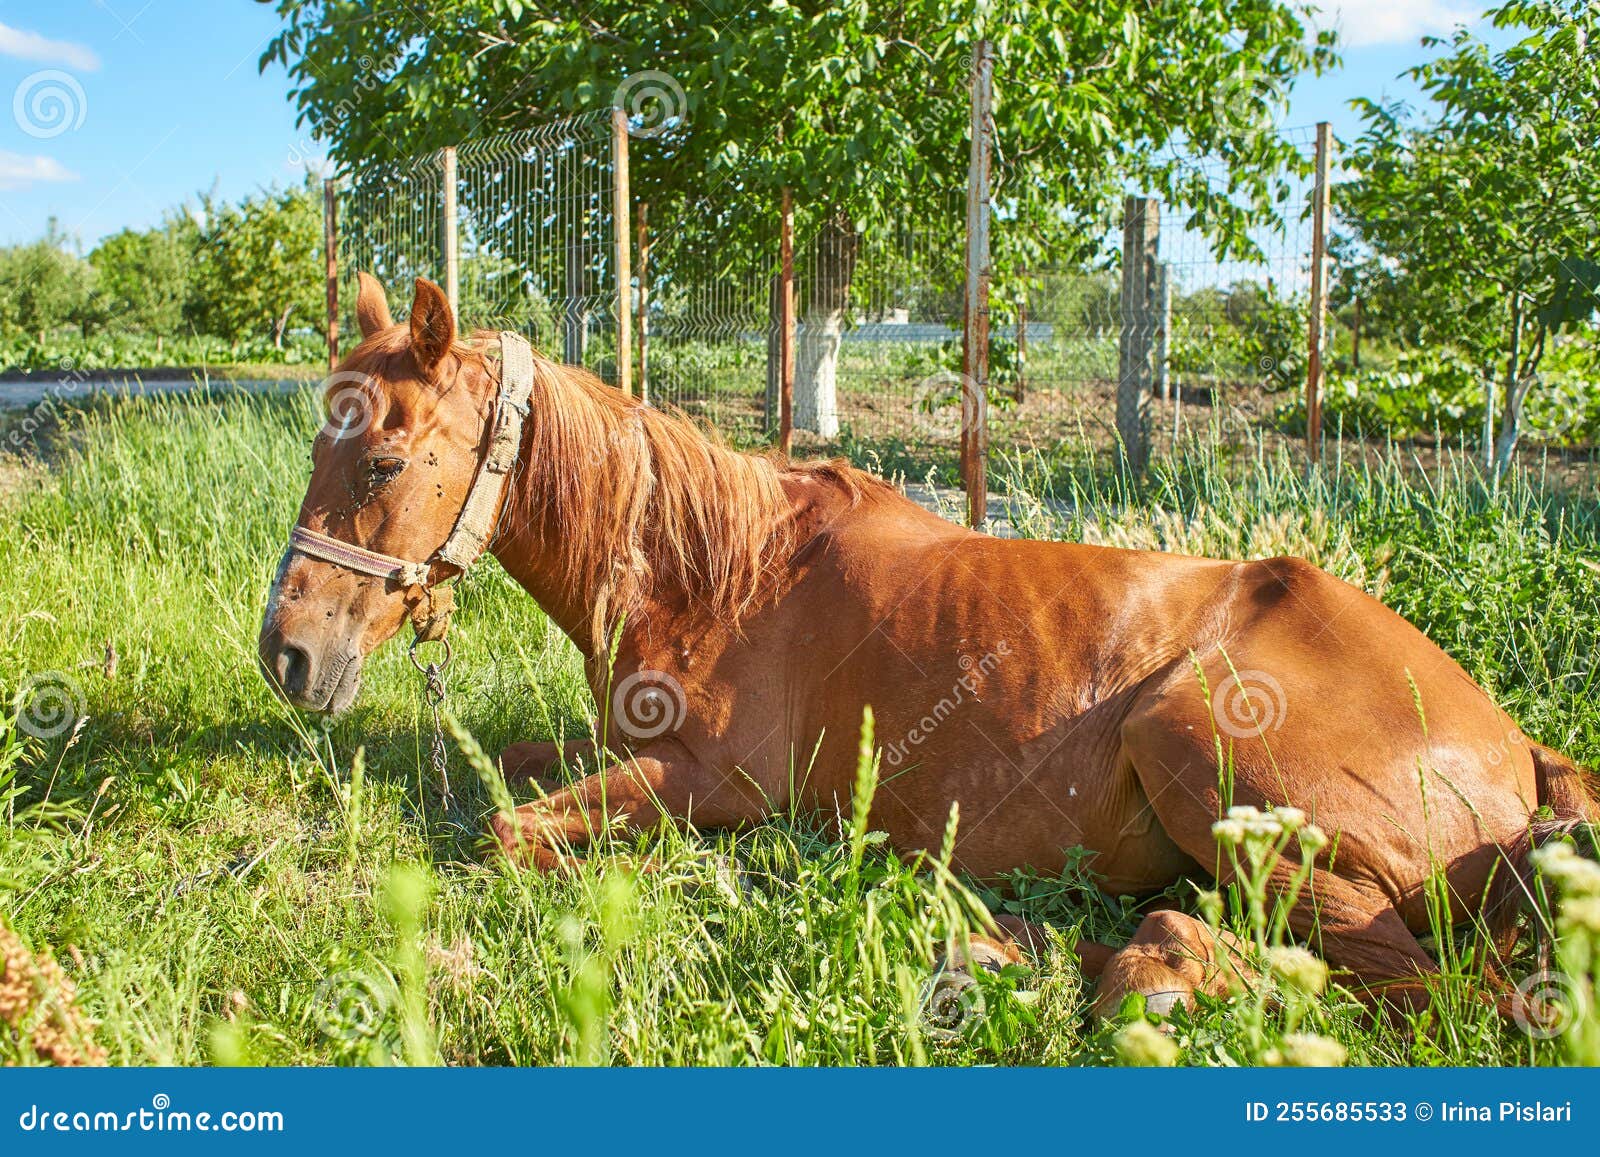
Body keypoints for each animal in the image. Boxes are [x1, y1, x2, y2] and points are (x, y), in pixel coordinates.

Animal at [258, 274, 1597, 1020]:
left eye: (381, 463)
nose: (287, 653)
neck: (722, 569)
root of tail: (1518, 749)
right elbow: (522, 767)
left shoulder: (711, 785)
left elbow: (505, 827)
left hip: (1200, 737)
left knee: (1434, 989)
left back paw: (1124, 967)